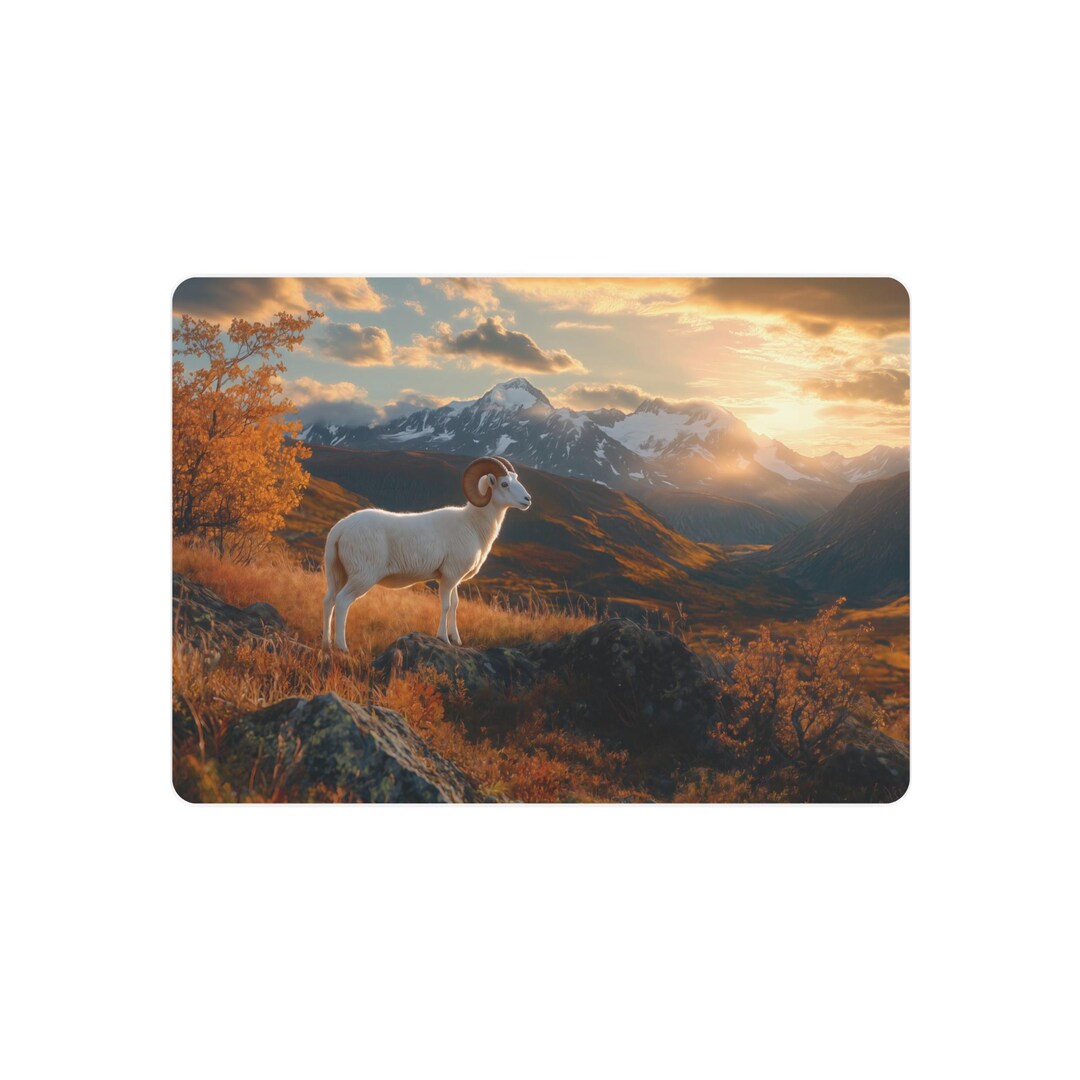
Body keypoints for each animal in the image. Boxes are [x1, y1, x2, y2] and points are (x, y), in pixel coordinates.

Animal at [322, 456, 532, 651]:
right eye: (504, 484)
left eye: (515, 478)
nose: (527, 499)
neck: (473, 525)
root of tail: (340, 529)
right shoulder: (449, 577)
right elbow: (446, 606)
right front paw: (443, 638)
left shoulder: (451, 578)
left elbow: (455, 605)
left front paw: (456, 639)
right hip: (362, 577)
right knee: (342, 602)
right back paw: (342, 647)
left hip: (337, 573)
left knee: (328, 601)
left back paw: (327, 644)